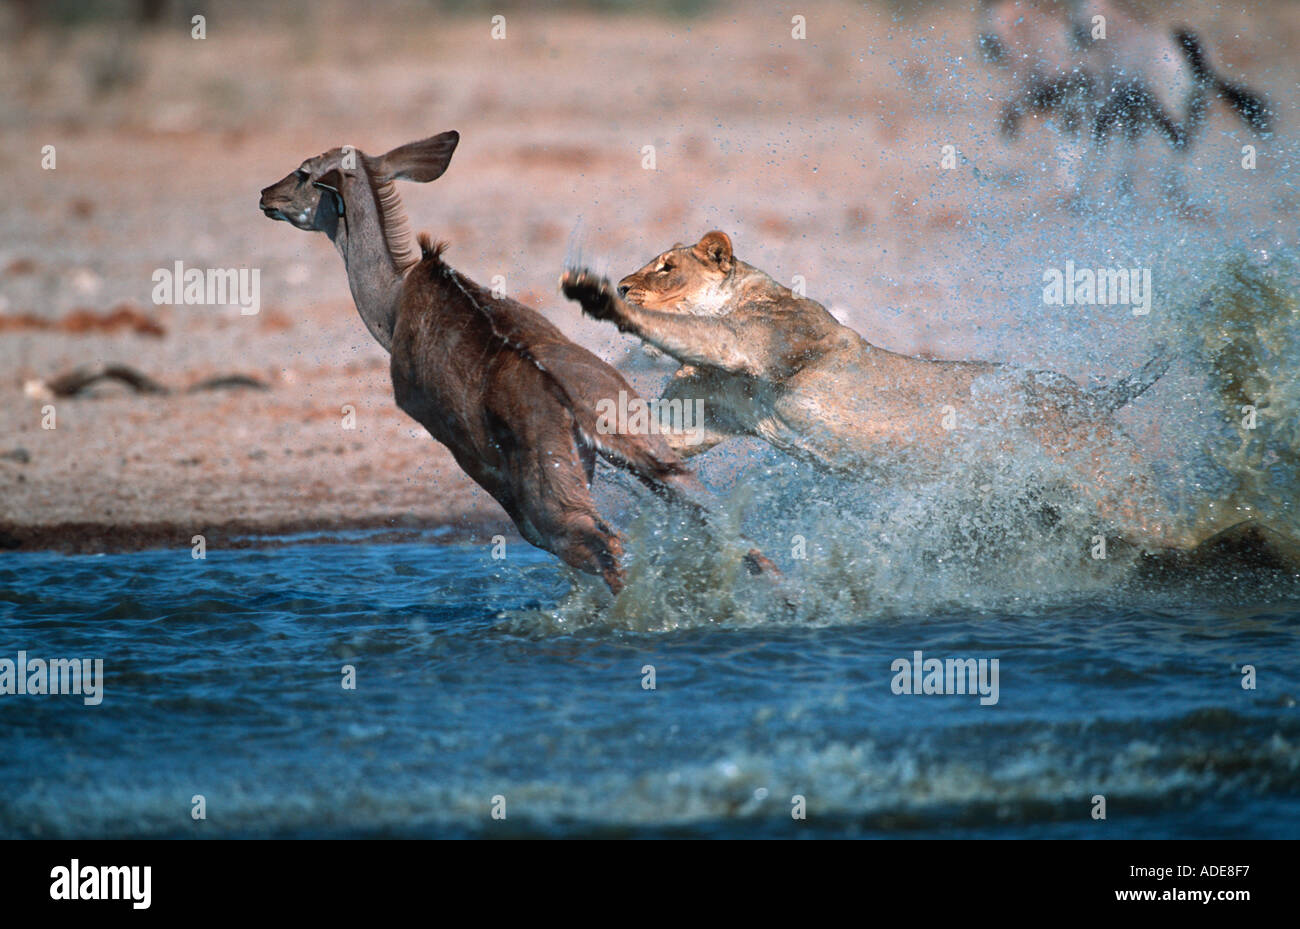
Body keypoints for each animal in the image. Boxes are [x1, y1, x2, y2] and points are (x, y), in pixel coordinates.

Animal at [561, 230, 1193, 550]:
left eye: (666, 267)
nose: (625, 284)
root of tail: (1088, 398)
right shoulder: (708, 415)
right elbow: (648, 430)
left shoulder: (753, 344)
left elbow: (684, 330)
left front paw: (600, 299)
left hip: (1114, 486)